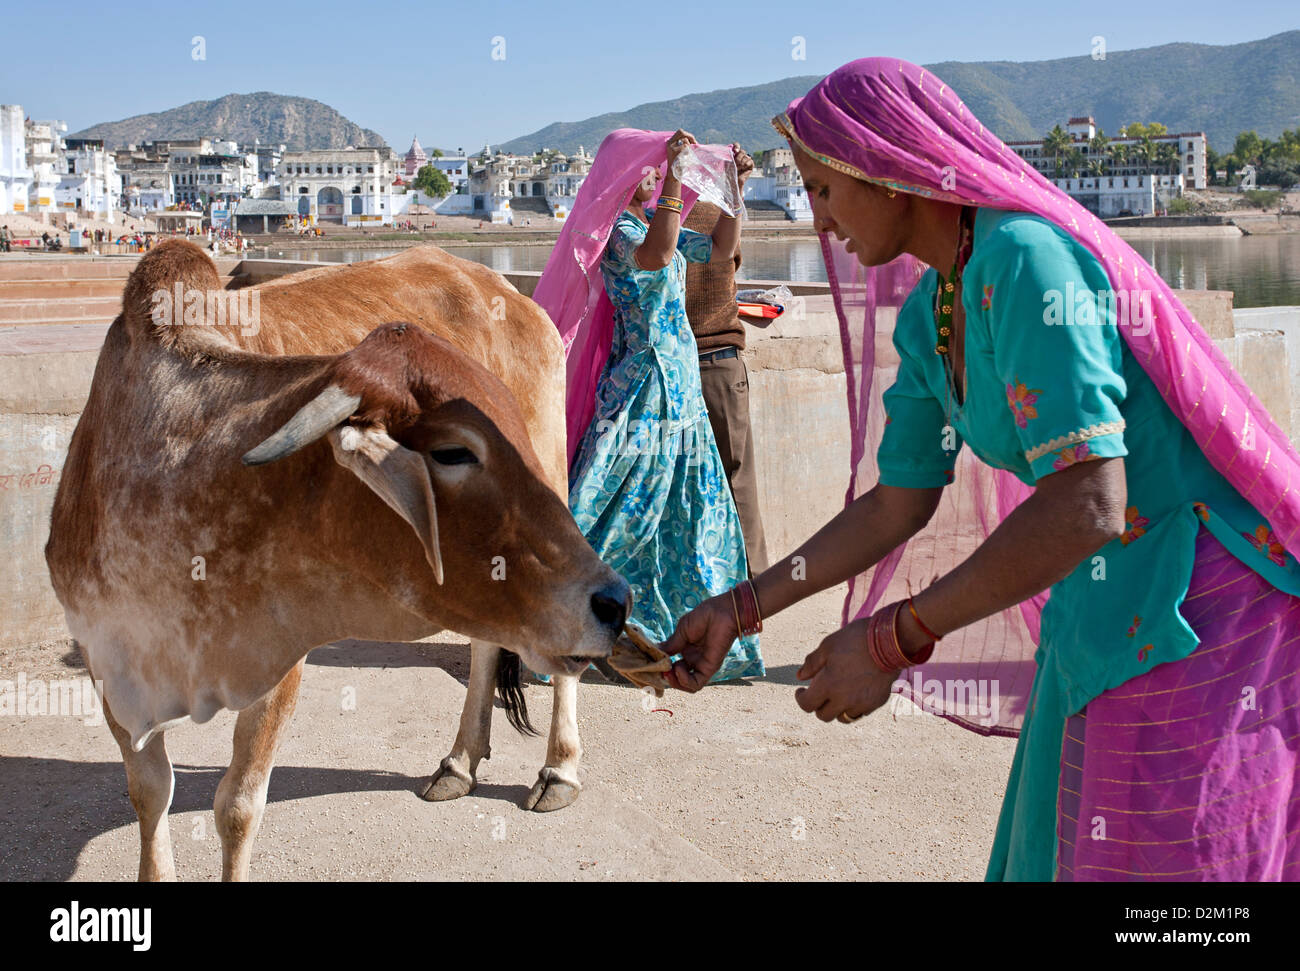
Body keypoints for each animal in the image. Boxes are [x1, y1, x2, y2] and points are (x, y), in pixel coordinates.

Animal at [45, 239, 630, 881]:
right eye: (453, 451)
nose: (617, 602)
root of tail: (498, 285)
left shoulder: (280, 663)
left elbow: (237, 807)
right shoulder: (108, 662)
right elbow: (150, 795)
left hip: (555, 476)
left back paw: (560, 768)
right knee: (486, 640)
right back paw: (459, 761)